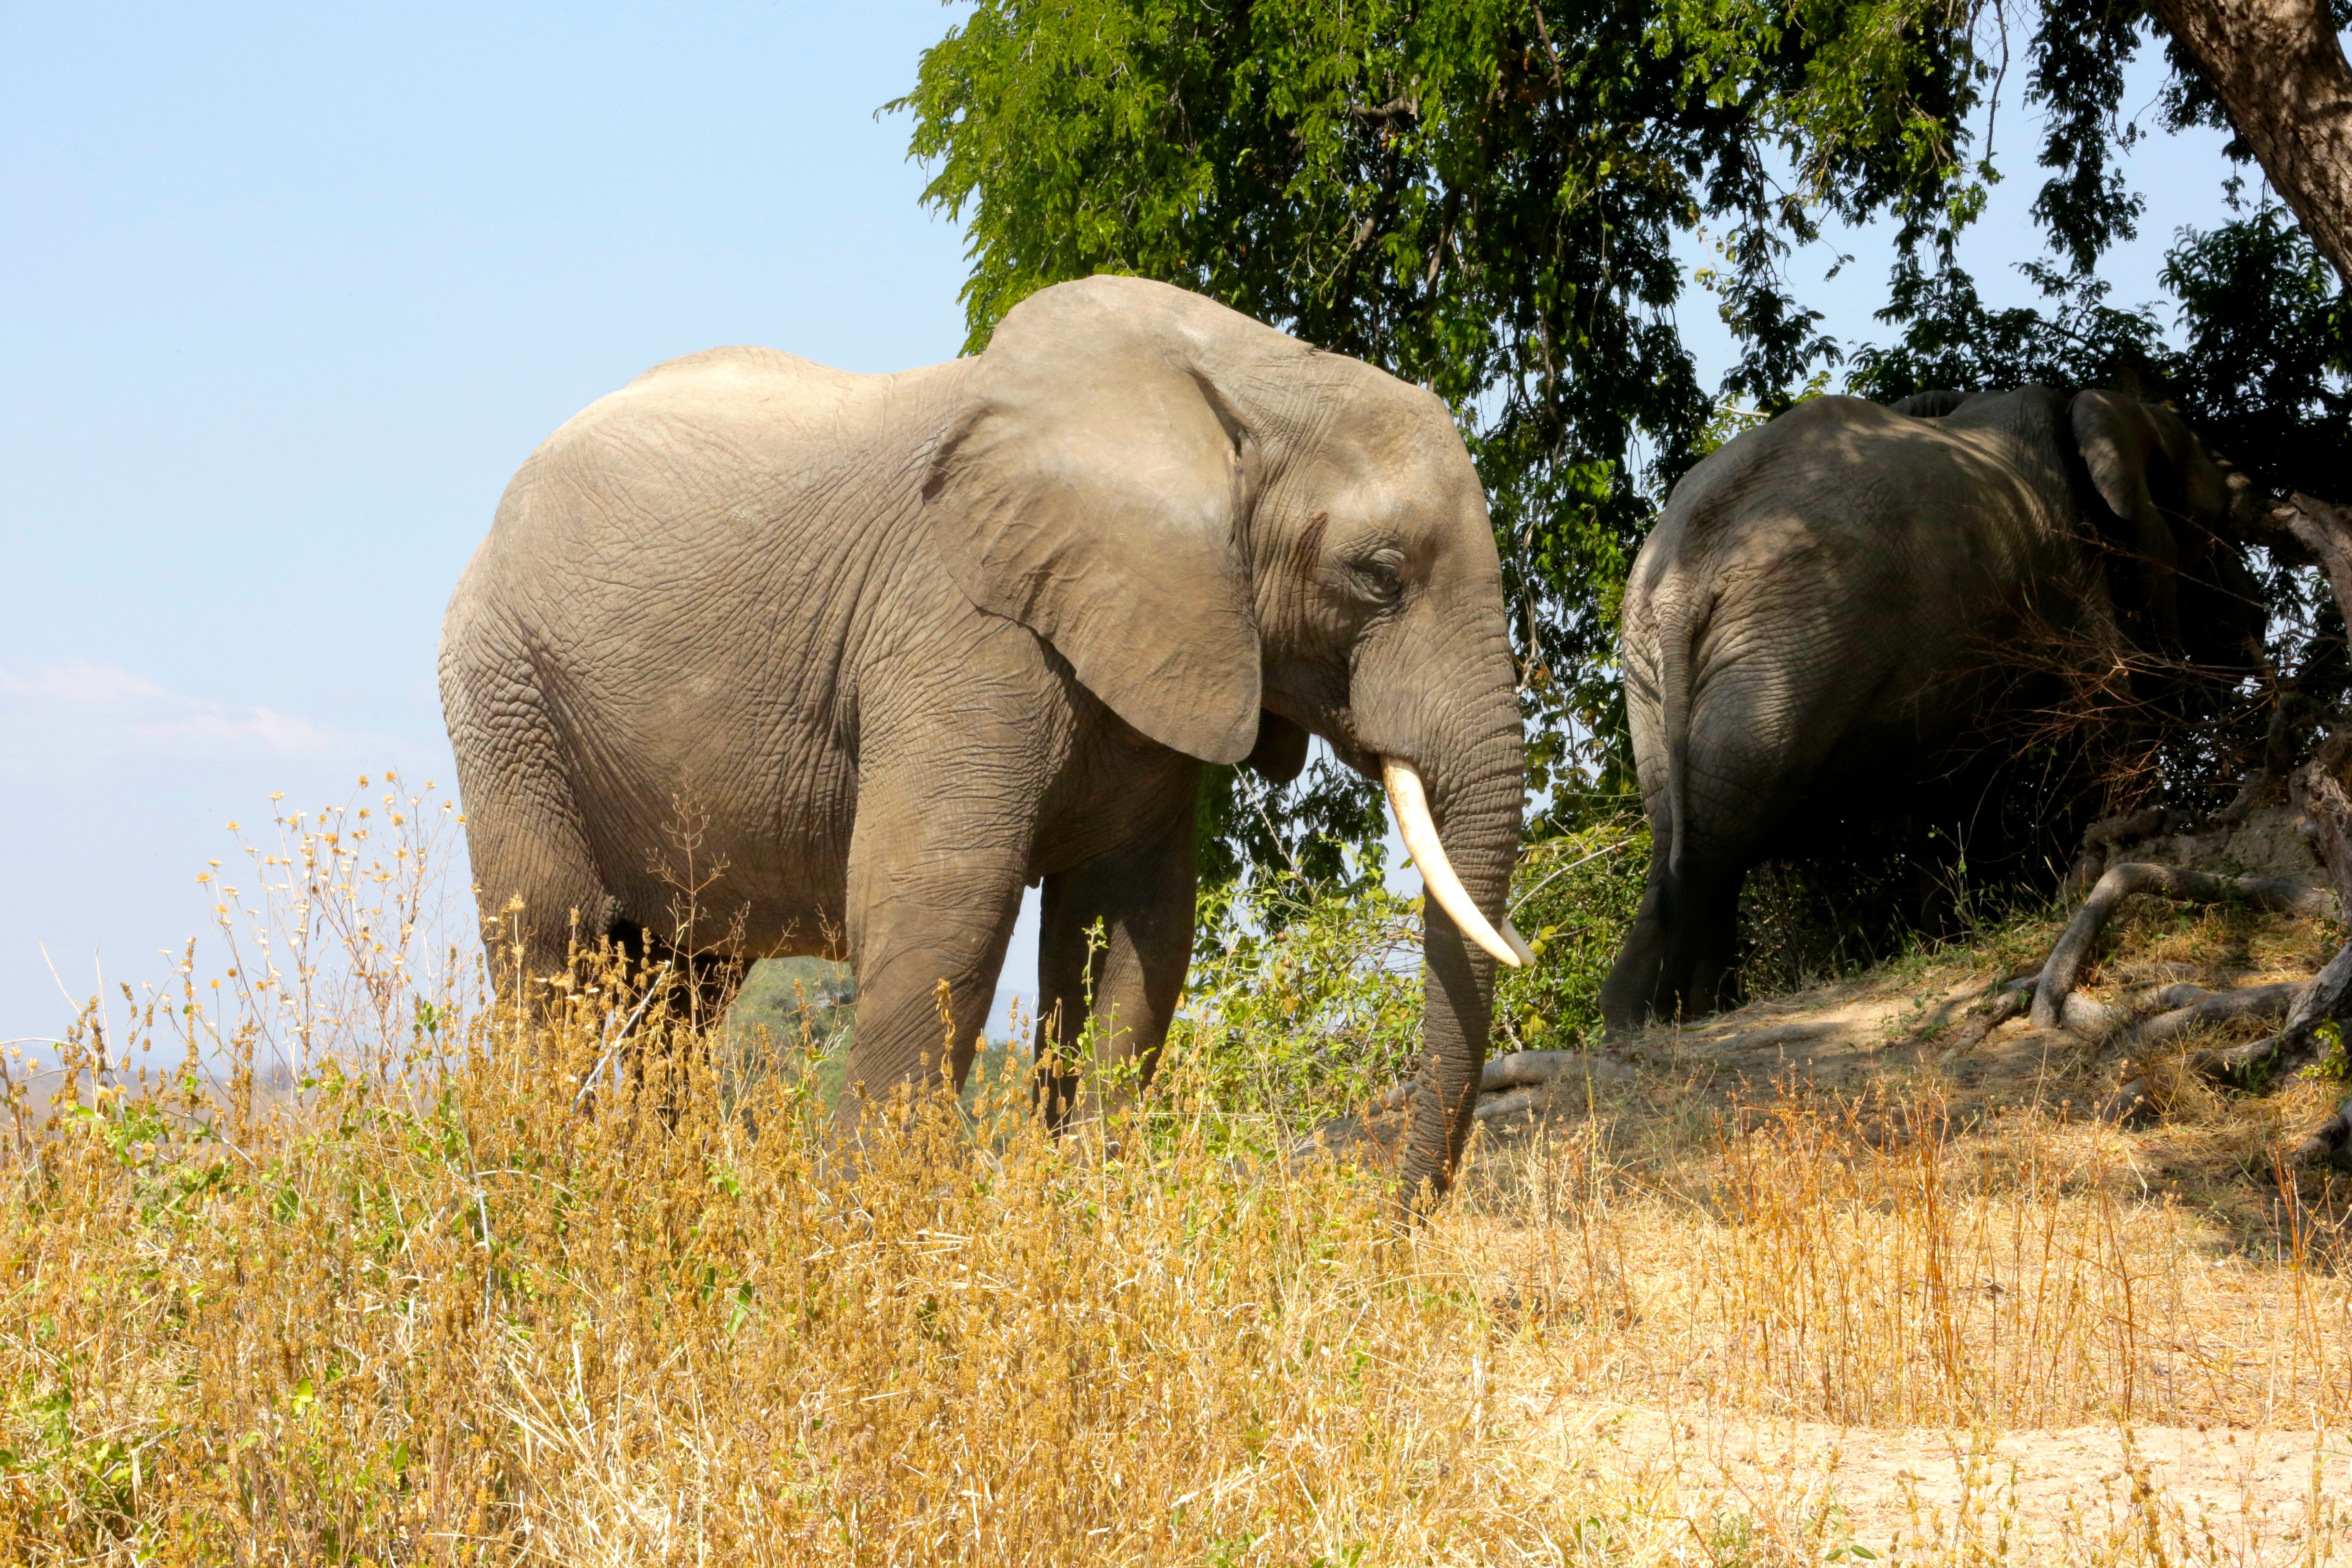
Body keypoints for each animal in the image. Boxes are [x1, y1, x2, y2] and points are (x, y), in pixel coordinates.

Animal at [440, 275, 1530, 1204]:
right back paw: (545, 1190)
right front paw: (875, 1230)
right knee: (553, 948)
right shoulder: (957, 630)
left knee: (682, 988)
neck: (1247, 374)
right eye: (1379, 574)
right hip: (507, 691)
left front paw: (1079, 1212)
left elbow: (1129, 928)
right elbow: (943, 899)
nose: (1395, 1218)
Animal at [1599, 385, 2265, 1034]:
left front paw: (1952, 934)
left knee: (1687, 822)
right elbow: (2111, 707)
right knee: (1727, 818)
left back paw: (1670, 1014)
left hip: (1654, 660)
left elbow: (1948, 788)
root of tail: (1682, 580)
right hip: (1783, 635)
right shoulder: (2071, 564)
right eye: (2219, 529)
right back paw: (1650, 1019)